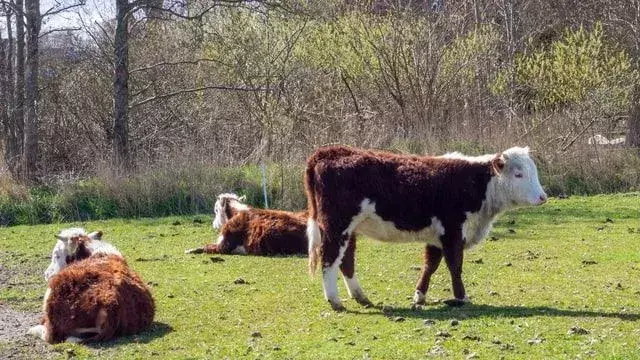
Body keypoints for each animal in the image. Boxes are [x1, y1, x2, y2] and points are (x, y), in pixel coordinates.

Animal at [308, 145, 548, 310]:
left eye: (533, 172)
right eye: (518, 174)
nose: (543, 197)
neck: (476, 183)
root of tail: (330, 151)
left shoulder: (437, 237)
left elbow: (430, 265)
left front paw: (419, 295)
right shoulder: (452, 231)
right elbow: (455, 265)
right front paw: (461, 297)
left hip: (350, 231)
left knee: (346, 260)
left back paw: (361, 296)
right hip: (337, 227)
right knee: (329, 259)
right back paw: (335, 300)